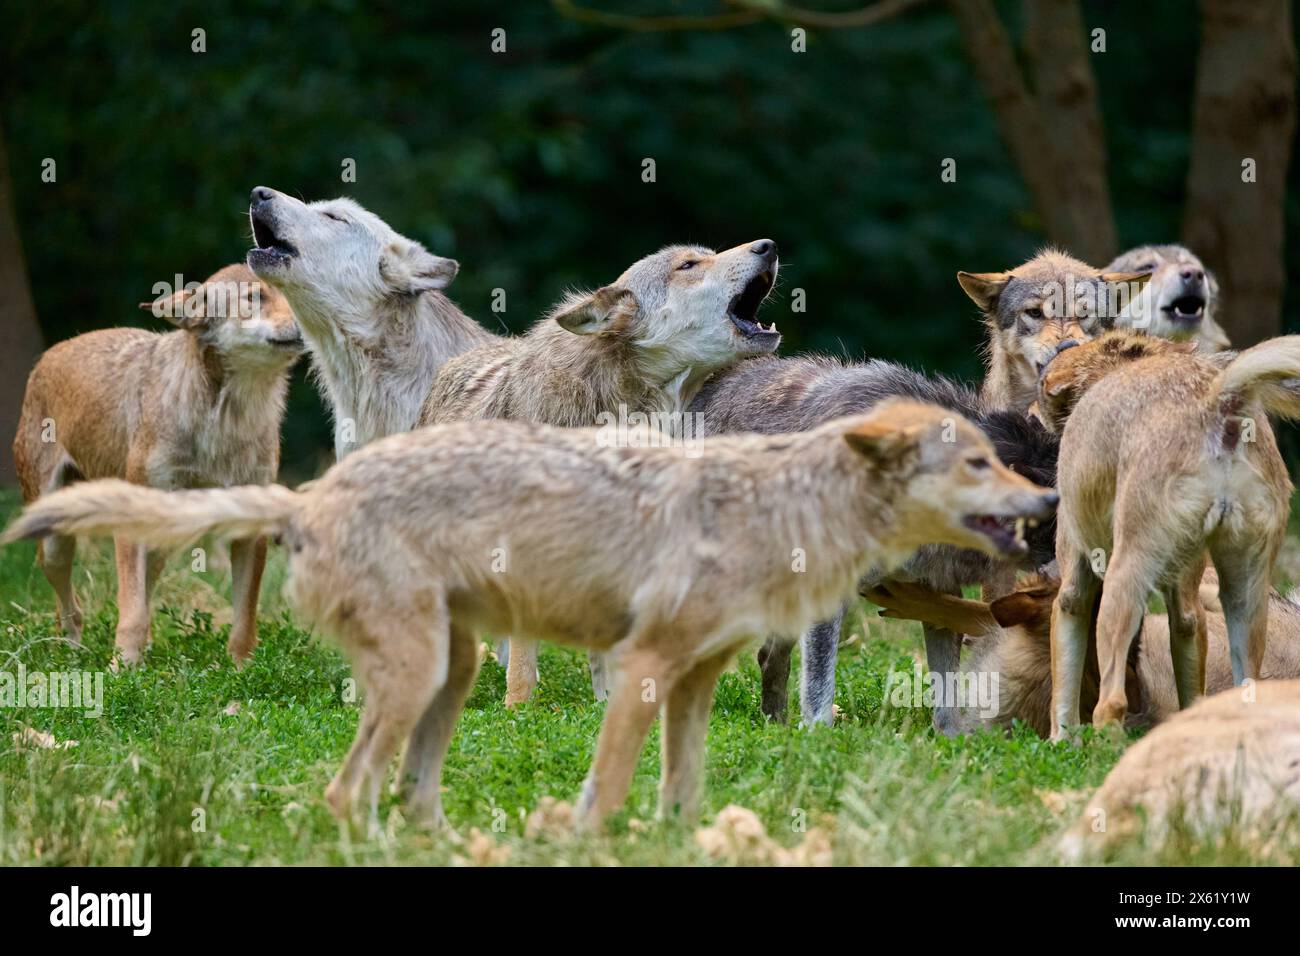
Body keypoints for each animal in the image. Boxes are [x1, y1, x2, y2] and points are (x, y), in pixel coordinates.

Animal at [4, 401, 1057, 830]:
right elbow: (607, 786)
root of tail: (308, 496)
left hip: (454, 673)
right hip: (421, 675)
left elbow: (680, 793)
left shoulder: (695, 683)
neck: (781, 513)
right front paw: (587, 839)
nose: (1048, 503)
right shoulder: (641, 668)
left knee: (405, 792)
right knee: (345, 792)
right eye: (979, 463)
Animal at [12, 264, 302, 665]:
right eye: (254, 297)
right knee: (72, 607)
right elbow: (131, 611)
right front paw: (121, 668)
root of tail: (50, 353)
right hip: (56, 543)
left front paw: (240, 669)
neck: (225, 417)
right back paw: (71, 652)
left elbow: (244, 619)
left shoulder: (250, 525)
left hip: (162, 540)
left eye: (296, 294)